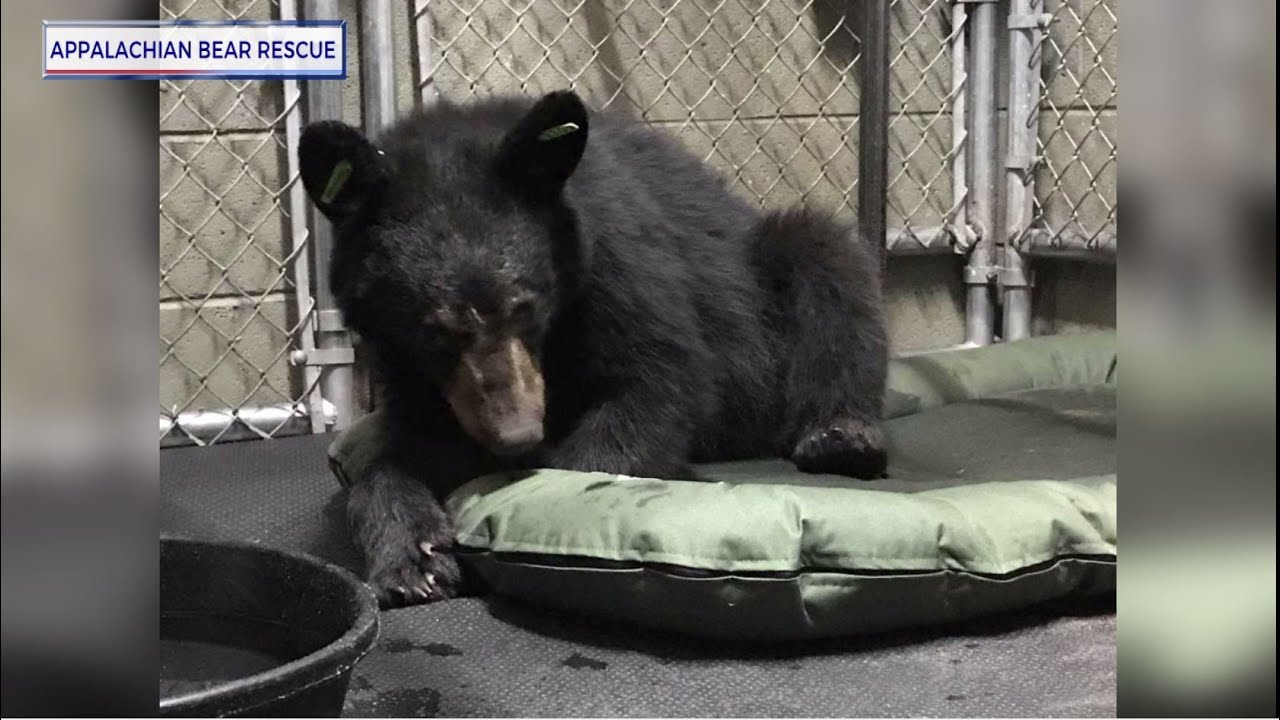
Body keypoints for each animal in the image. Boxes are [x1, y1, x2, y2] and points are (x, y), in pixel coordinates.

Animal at [299, 90, 888, 607]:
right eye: (433, 331)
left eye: (526, 306)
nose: (516, 436)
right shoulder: (416, 372)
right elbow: (401, 453)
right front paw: (415, 560)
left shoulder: (618, 264)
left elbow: (656, 383)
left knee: (825, 260)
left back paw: (839, 435)